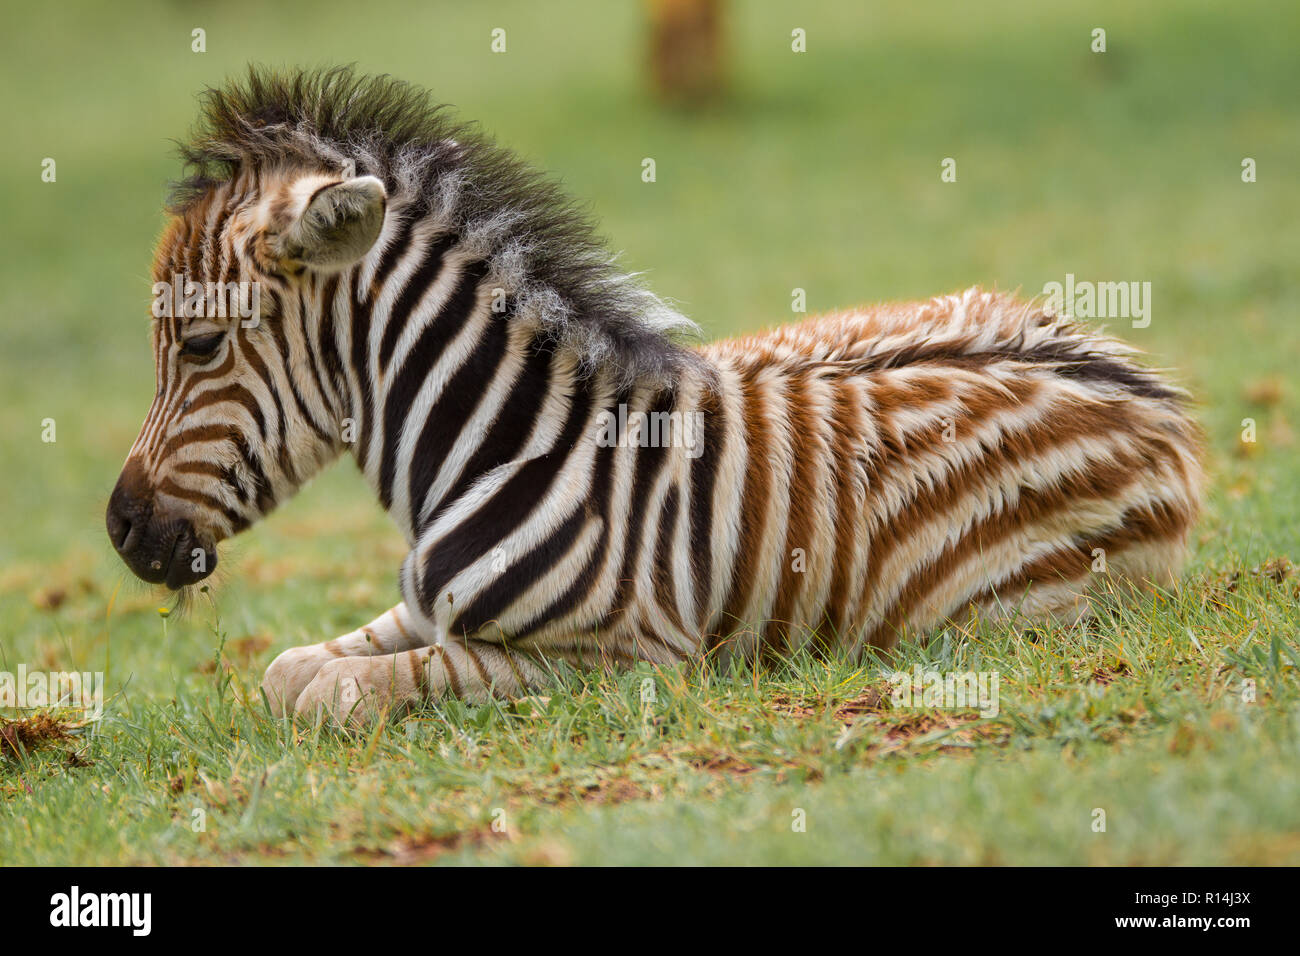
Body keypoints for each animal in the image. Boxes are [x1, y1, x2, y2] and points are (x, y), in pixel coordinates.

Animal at [105, 67, 1205, 726]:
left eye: (199, 344)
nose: (120, 530)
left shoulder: (628, 658)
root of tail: (1142, 388)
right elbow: (290, 669)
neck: (499, 445)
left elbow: (334, 690)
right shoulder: (424, 609)